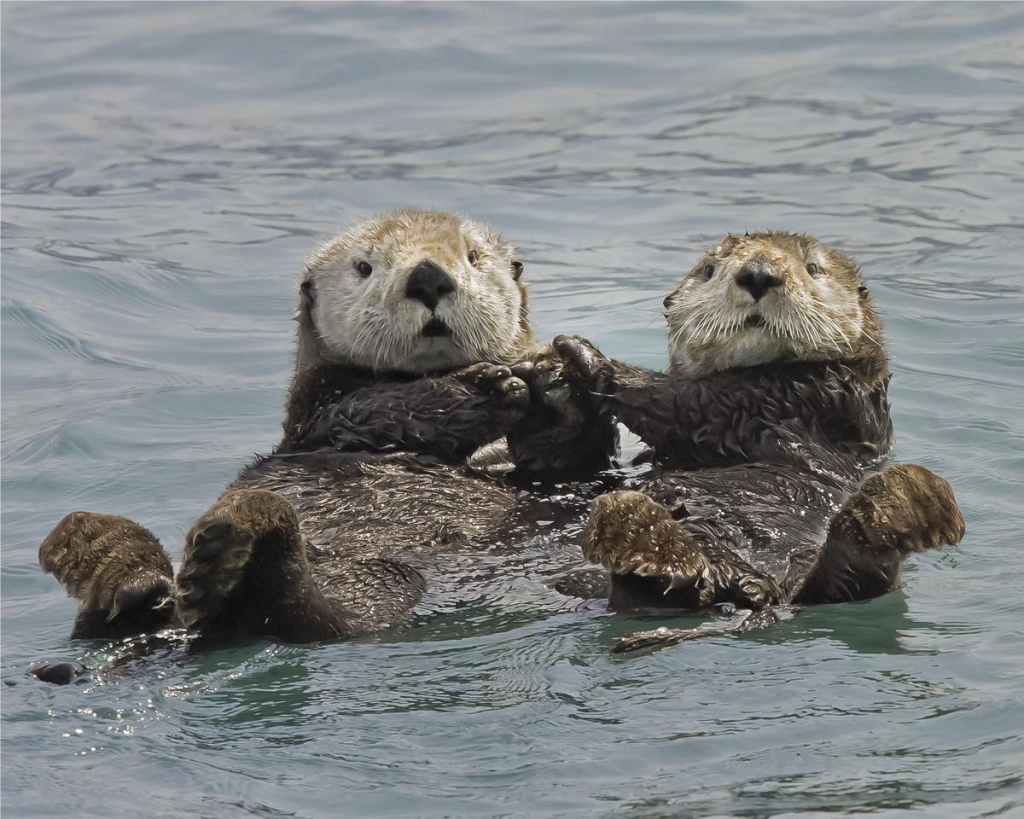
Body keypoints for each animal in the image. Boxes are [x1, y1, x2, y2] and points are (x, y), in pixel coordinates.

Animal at [38, 209, 617, 662]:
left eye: (473, 257)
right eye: (364, 267)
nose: (428, 277)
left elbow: (564, 457)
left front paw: (560, 376)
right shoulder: (322, 412)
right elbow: (380, 410)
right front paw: (490, 387)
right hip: (368, 575)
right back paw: (198, 567)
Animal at [546, 232, 964, 652]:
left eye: (813, 268)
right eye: (709, 270)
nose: (759, 274)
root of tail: (759, 594)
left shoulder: (795, 400)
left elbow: (679, 401)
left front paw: (580, 352)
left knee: (852, 583)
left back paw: (900, 508)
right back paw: (643, 537)